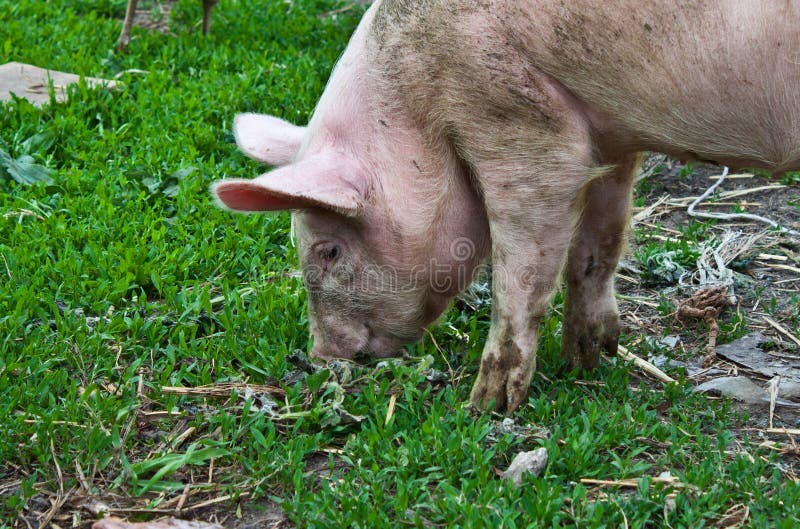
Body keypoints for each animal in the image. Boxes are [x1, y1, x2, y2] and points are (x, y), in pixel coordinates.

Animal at [213, 0, 800, 412]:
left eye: (329, 250)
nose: (322, 356)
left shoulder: (519, 122)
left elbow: (520, 273)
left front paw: (486, 406)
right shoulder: (609, 138)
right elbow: (597, 247)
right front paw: (587, 362)